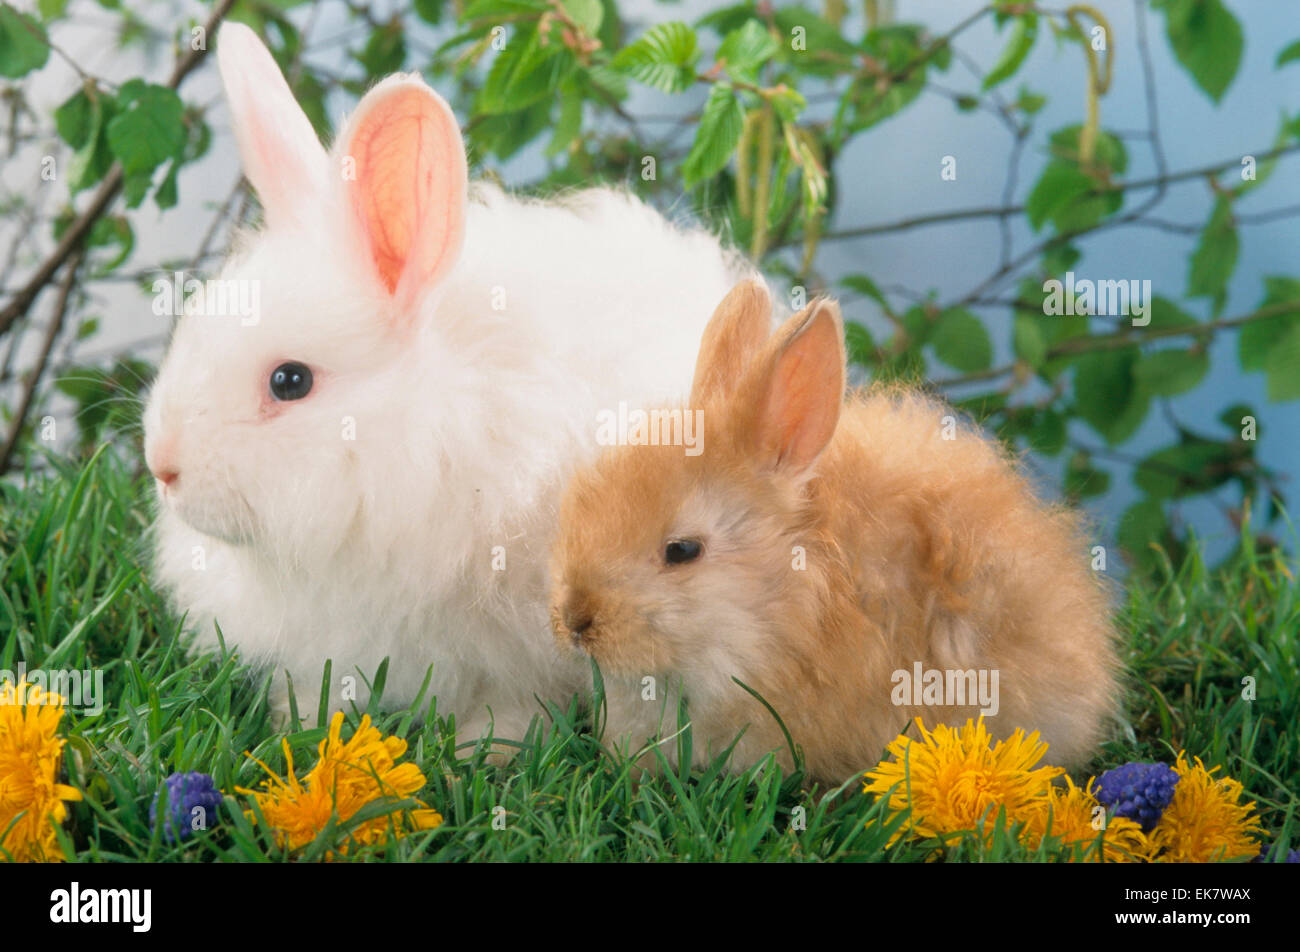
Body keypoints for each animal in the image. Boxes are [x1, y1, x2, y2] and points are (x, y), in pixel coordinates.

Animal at [142, 23, 752, 748]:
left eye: (290, 381)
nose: (163, 468)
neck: (434, 433)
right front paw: (301, 722)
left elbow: (515, 702)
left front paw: (489, 749)